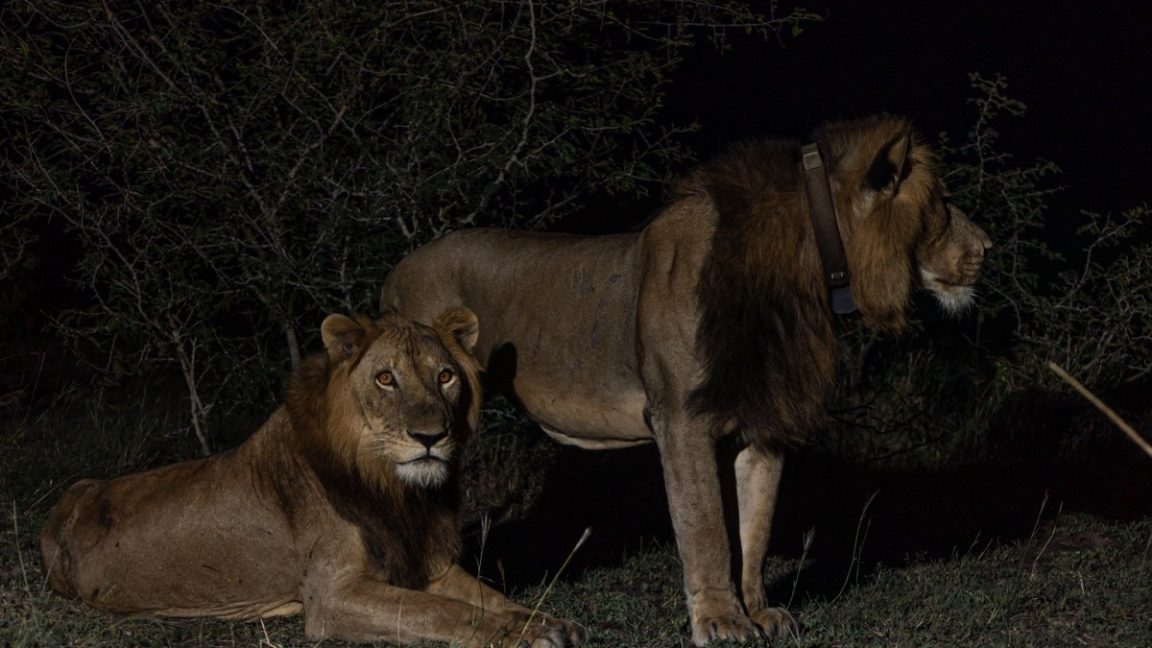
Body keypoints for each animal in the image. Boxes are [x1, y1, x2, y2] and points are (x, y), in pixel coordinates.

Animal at [40, 308, 586, 648]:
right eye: (386, 378)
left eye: (445, 376)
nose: (431, 436)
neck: (396, 490)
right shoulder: (332, 596)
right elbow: (442, 612)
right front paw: (527, 635)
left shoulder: (427, 565)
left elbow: (490, 597)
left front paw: (545, 621)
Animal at [380, 115, 991, 645]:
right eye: (941, 204)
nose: (986, 247)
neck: (801, 276)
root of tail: (396, 270)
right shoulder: (681, 418)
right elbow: (707, 529)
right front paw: (721, 622)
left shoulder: (764, 421)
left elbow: (754, 528)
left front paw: (759, 612)